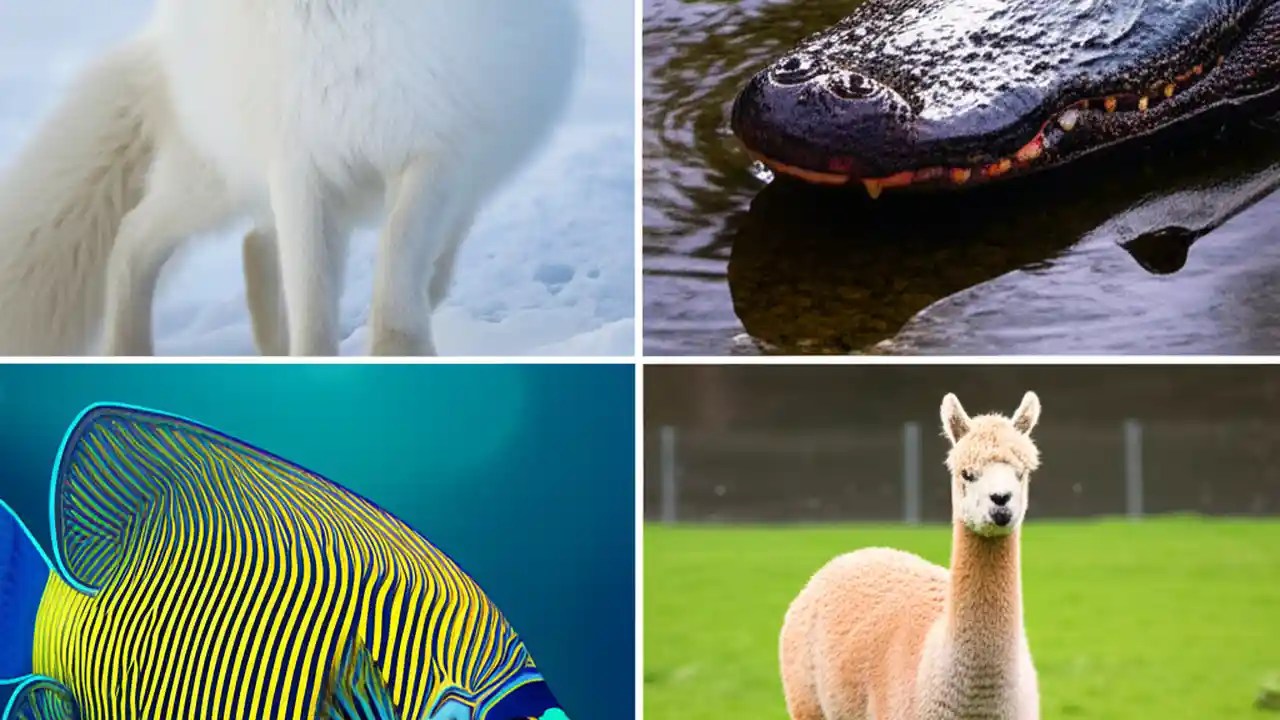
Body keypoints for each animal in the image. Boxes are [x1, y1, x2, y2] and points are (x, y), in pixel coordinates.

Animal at [0, 0, 582, 356]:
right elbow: (313, 304)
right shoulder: (299, 164)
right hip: (214, 184)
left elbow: (395, 281)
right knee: (134, 239)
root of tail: (159, 44)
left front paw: (397, 354)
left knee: (260, 245)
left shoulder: (434, 156)